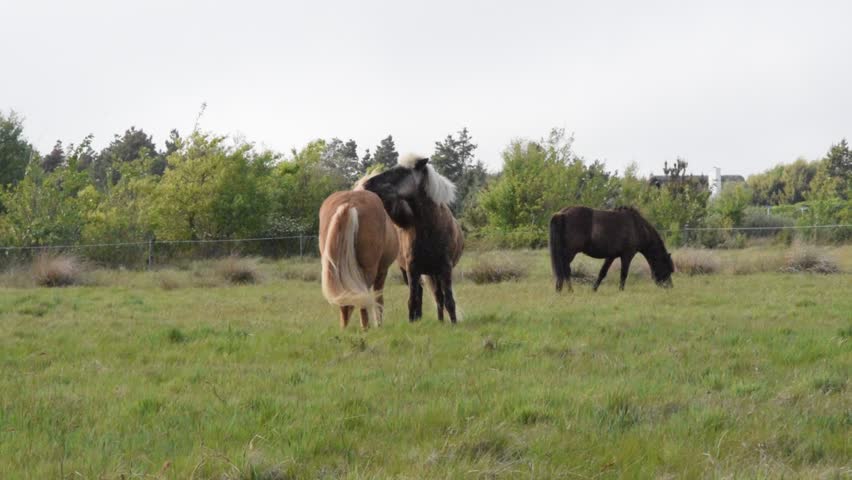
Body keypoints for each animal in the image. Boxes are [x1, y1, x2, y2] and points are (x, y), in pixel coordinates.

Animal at [318, 189, 399, 329]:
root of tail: (349, 203)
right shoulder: (382, 271)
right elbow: (378, 298)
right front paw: (379, 324)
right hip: (368, 270)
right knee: (363, 297)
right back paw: (366, 327)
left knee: (346, 299)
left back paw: (344, 327)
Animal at [359, 154, 464, 323]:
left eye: (400, 172)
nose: (367, 183)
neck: (430, 228)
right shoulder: (412, 269)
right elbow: (412, 301)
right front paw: (412, 322)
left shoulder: (445, 269)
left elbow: (449, 301)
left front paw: (453, 324)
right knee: (424, 297)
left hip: (434, 273)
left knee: (439, 297)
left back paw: (441, 321)